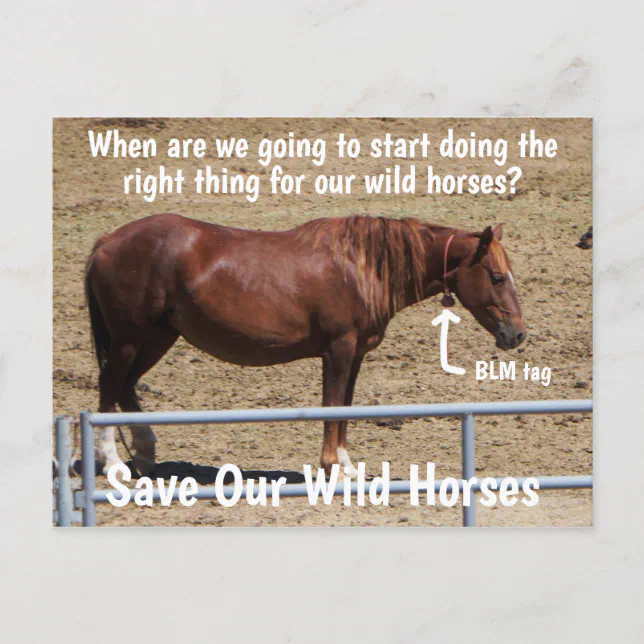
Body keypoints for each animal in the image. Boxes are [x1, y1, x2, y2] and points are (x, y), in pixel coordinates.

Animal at [84, 213, 526, 477]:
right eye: (497, 276)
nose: (518, 334)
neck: (362, 266)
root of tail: (107, 240)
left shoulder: (355, 354)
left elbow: (345, 407)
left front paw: (346, 465)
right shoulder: (338, 350)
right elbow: (332, 406)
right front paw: (330, 465)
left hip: (158, 336)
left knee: (125, 387)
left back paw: (144, 454)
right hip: (130, 339)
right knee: (110, 387)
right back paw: (112, 463)